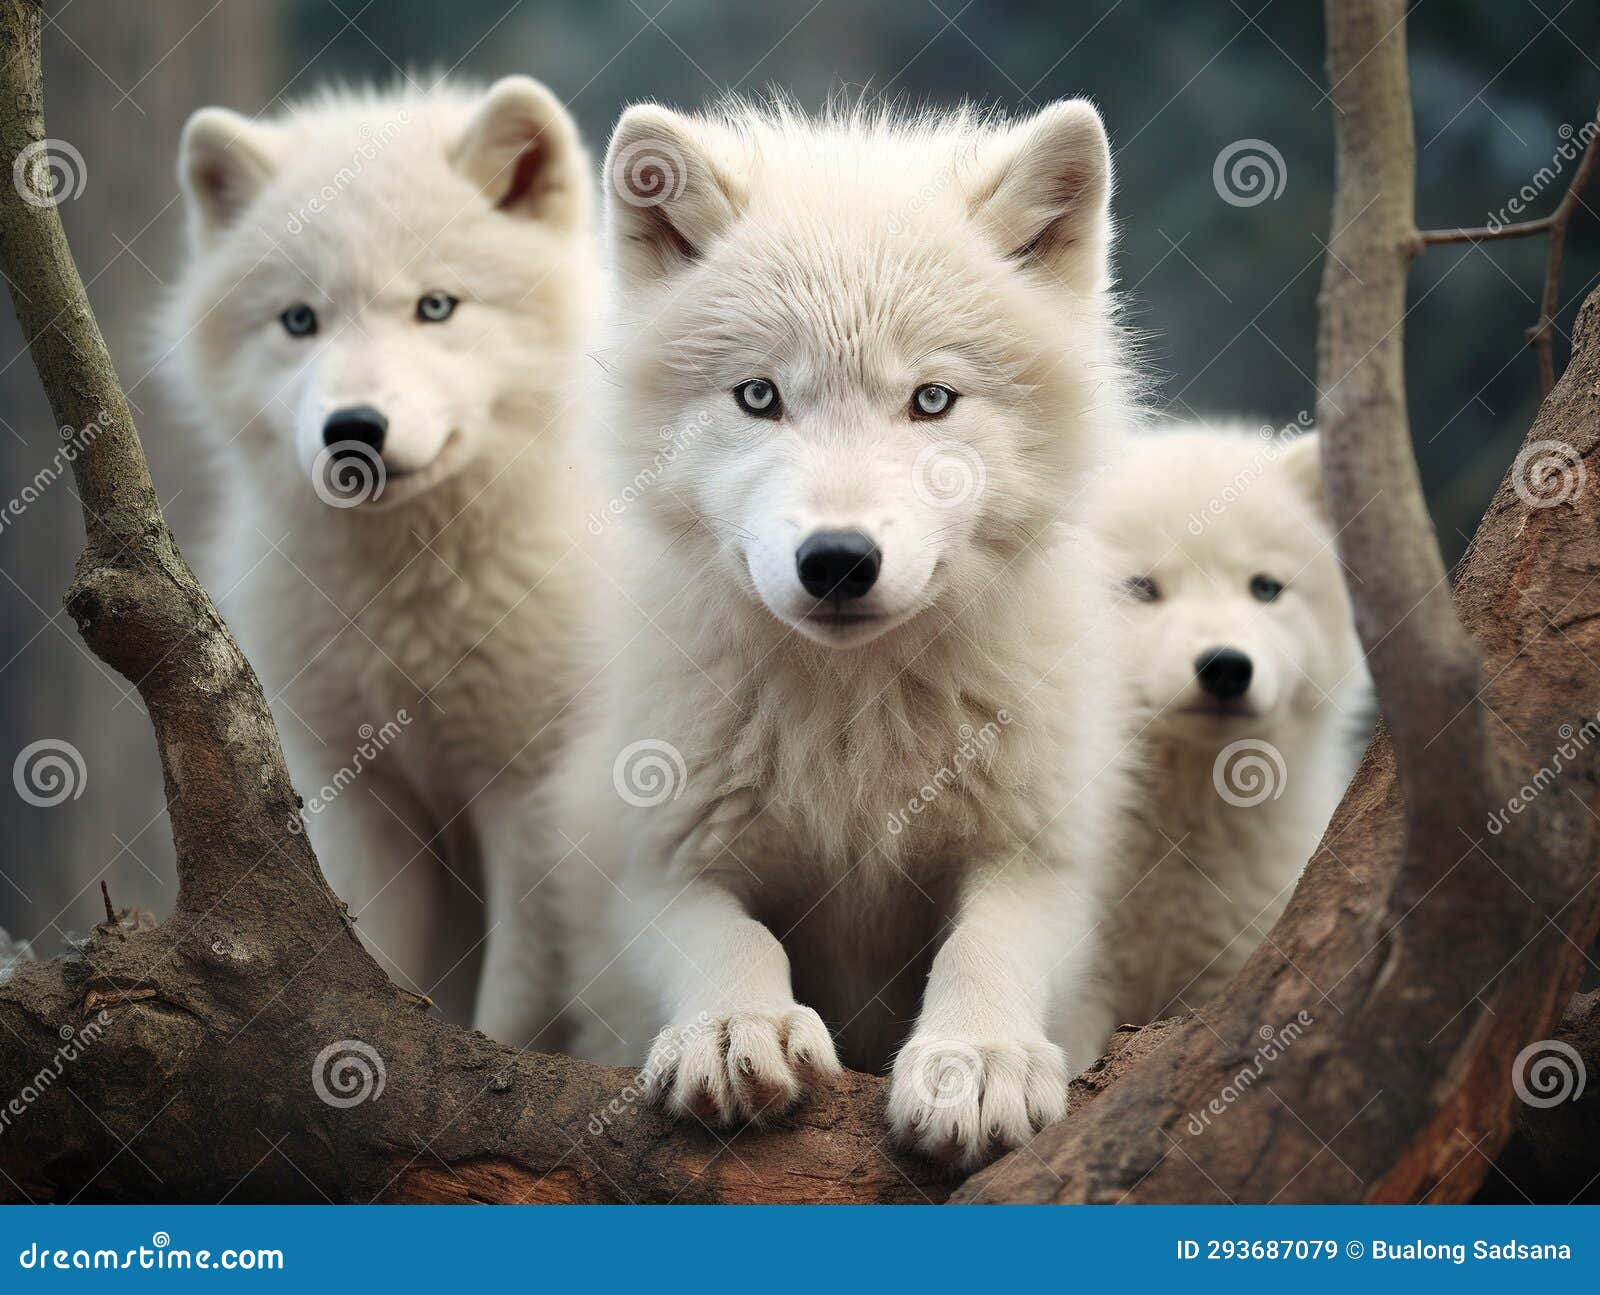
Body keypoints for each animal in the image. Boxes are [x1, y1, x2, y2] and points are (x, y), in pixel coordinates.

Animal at [160, 79, 597, 1040]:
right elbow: (372, 975)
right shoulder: (362, 799)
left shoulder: (529, 800)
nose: (353, 428)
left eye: (436, 306)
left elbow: (511, 1017)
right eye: (299, 320)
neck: (406, 599)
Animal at [543, 97, 1139, 1168]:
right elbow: (729, 938)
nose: (838, 560)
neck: (852, 720)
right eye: (759, 396)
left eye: (932, 399)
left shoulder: (1041, 857)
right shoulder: (653, 864)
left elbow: (986, 945)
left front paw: (975, 1057)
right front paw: (735, 1027)